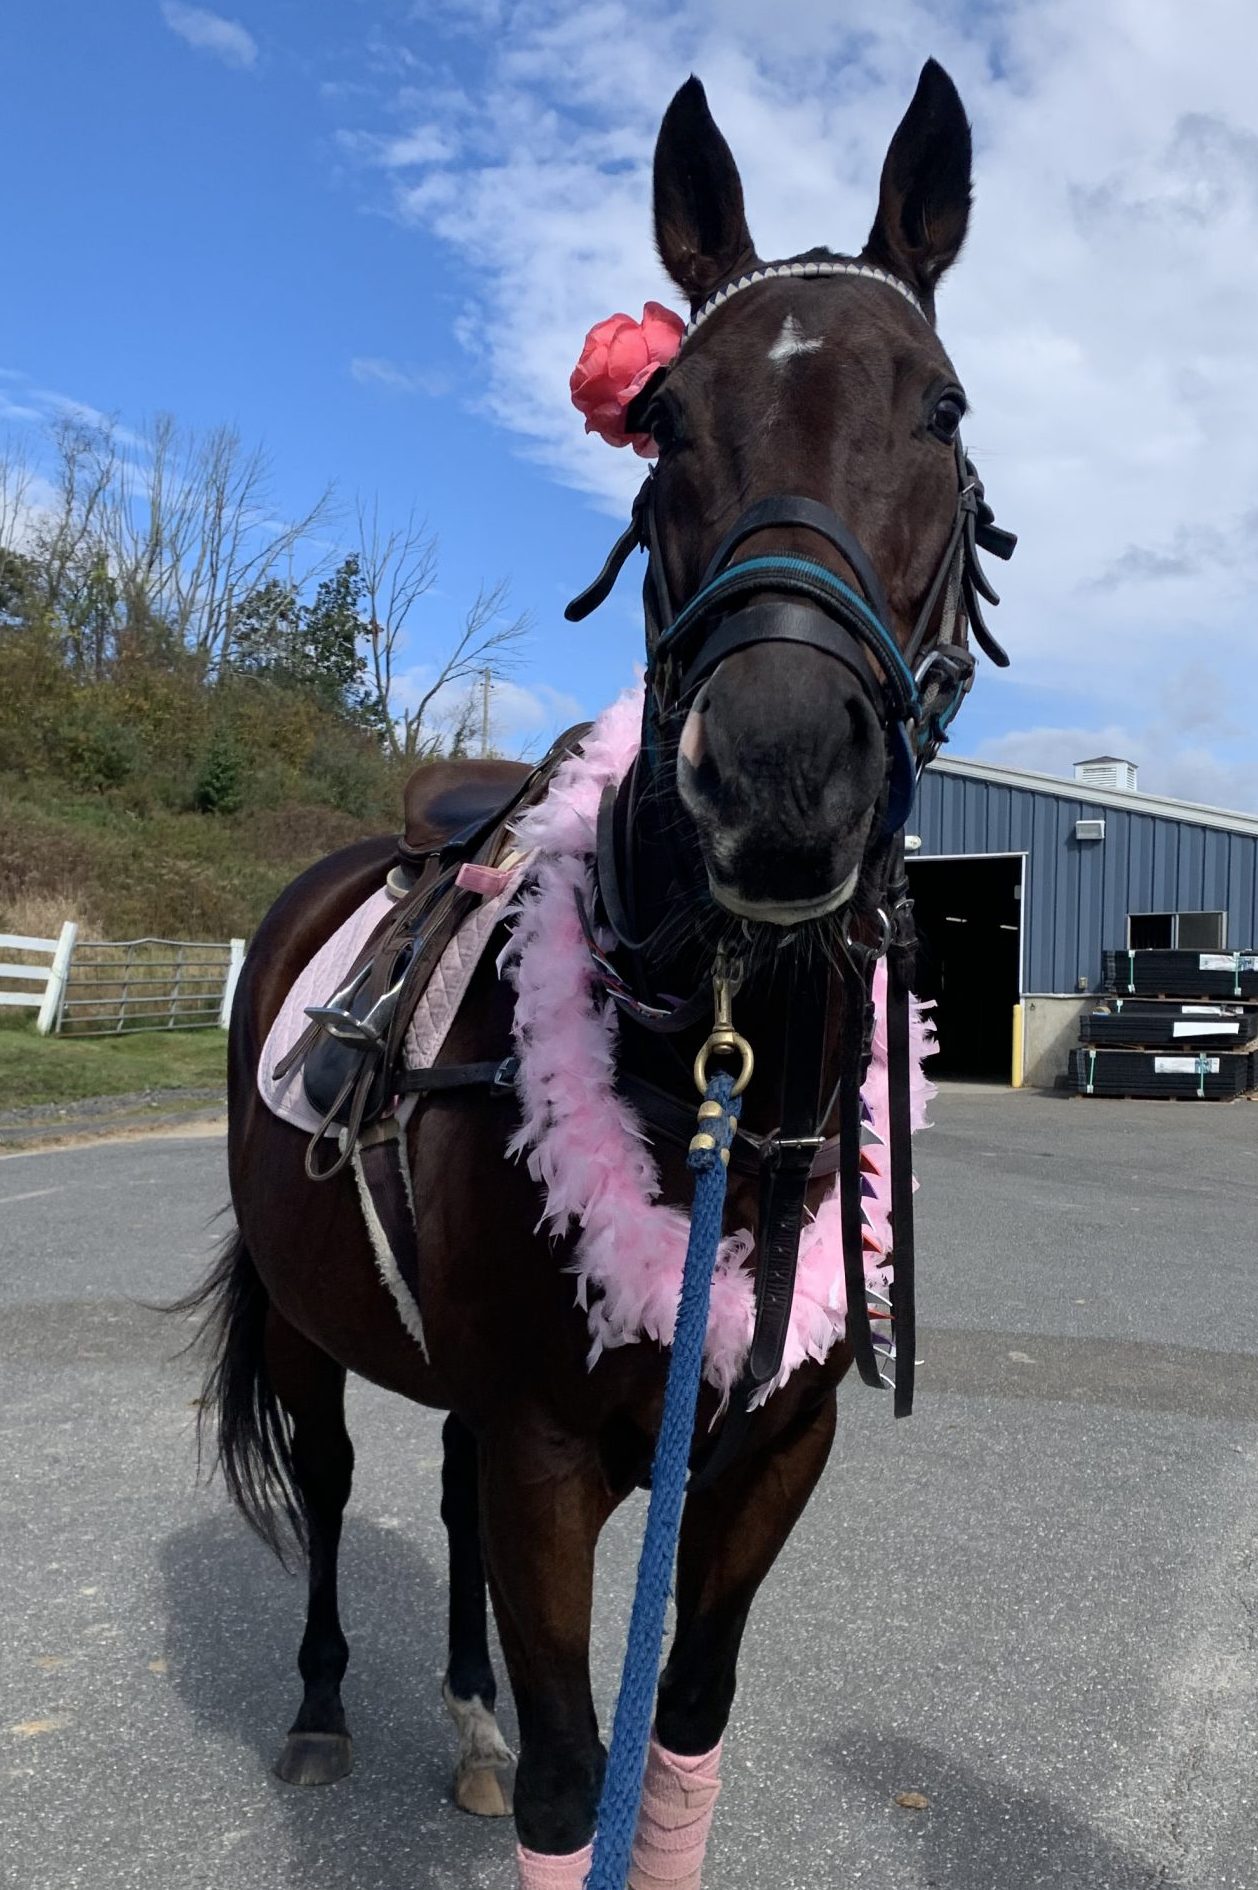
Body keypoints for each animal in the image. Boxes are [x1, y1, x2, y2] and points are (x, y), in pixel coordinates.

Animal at [190, 59, 1009, 1888]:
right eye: (666, 421)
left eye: (939, 409)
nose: (776, 774)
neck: (712, 1069)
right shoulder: (549, 1454)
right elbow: (579, 1780)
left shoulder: (767, 1451)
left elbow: (679, 1732)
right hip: (306, 1315)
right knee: (335, 1481)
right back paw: (324, 1709)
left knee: (434, 1494)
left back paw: (463, 1715)